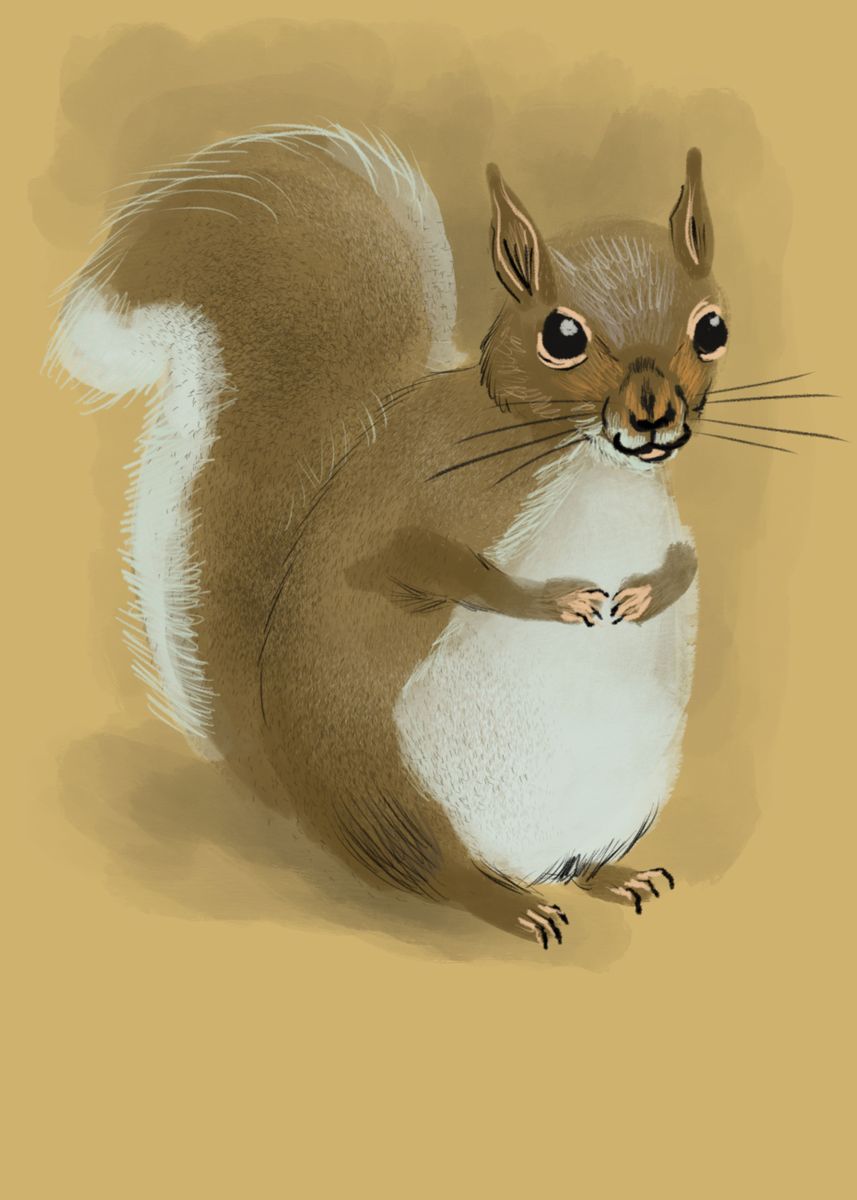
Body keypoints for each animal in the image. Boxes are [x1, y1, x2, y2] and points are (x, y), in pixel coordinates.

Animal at [48, 123, 729, 950]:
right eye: (561, 335)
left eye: (712, 328)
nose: (654, 417)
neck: (594, 459)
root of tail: (307, 802)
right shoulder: (434, 489)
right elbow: (408, 561)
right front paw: (557, 603)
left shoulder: (665, 519)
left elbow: (686, 562)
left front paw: (641, 596)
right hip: (406, 797)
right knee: (437, 874)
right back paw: (510, 904)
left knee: (572, 863)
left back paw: (613, 874)